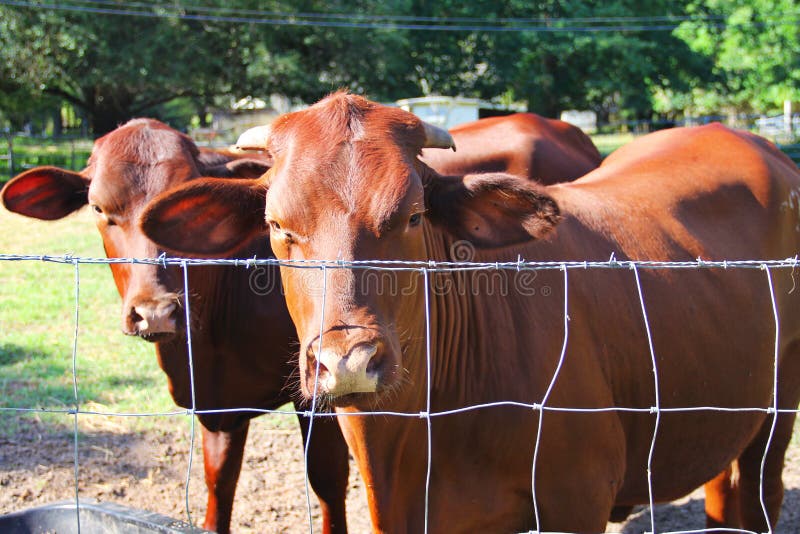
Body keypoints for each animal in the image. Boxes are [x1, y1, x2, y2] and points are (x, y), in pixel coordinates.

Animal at [0, 119, 350, 534]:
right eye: (98, 207)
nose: (155, 312)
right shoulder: (217, 405)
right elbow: (219, 481)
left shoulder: (319, 391)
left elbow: (328, 479)